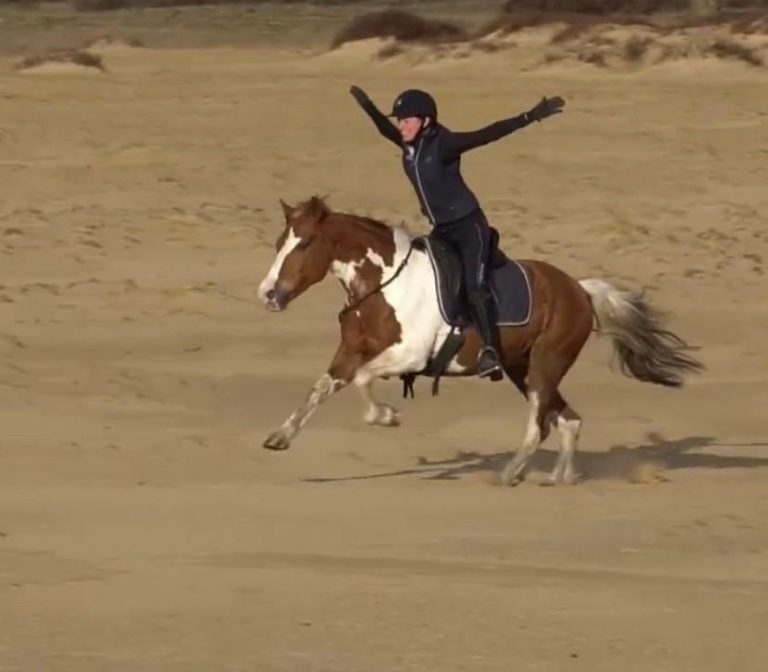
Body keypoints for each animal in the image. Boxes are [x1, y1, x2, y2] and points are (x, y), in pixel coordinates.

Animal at [257, 195, 703, 486]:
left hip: (545, 366)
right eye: (279, 244)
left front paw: (386, 416)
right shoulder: (350, 352)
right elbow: (320, 389)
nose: (267, 294)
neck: (384, 283)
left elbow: (364, 380)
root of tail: (579, 288)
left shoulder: (409, 355)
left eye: (305, 243)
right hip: (523, 369)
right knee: (568, 420)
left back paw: (511, 472)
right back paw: (559, 477)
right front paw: (280, 437)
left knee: (539, 425)